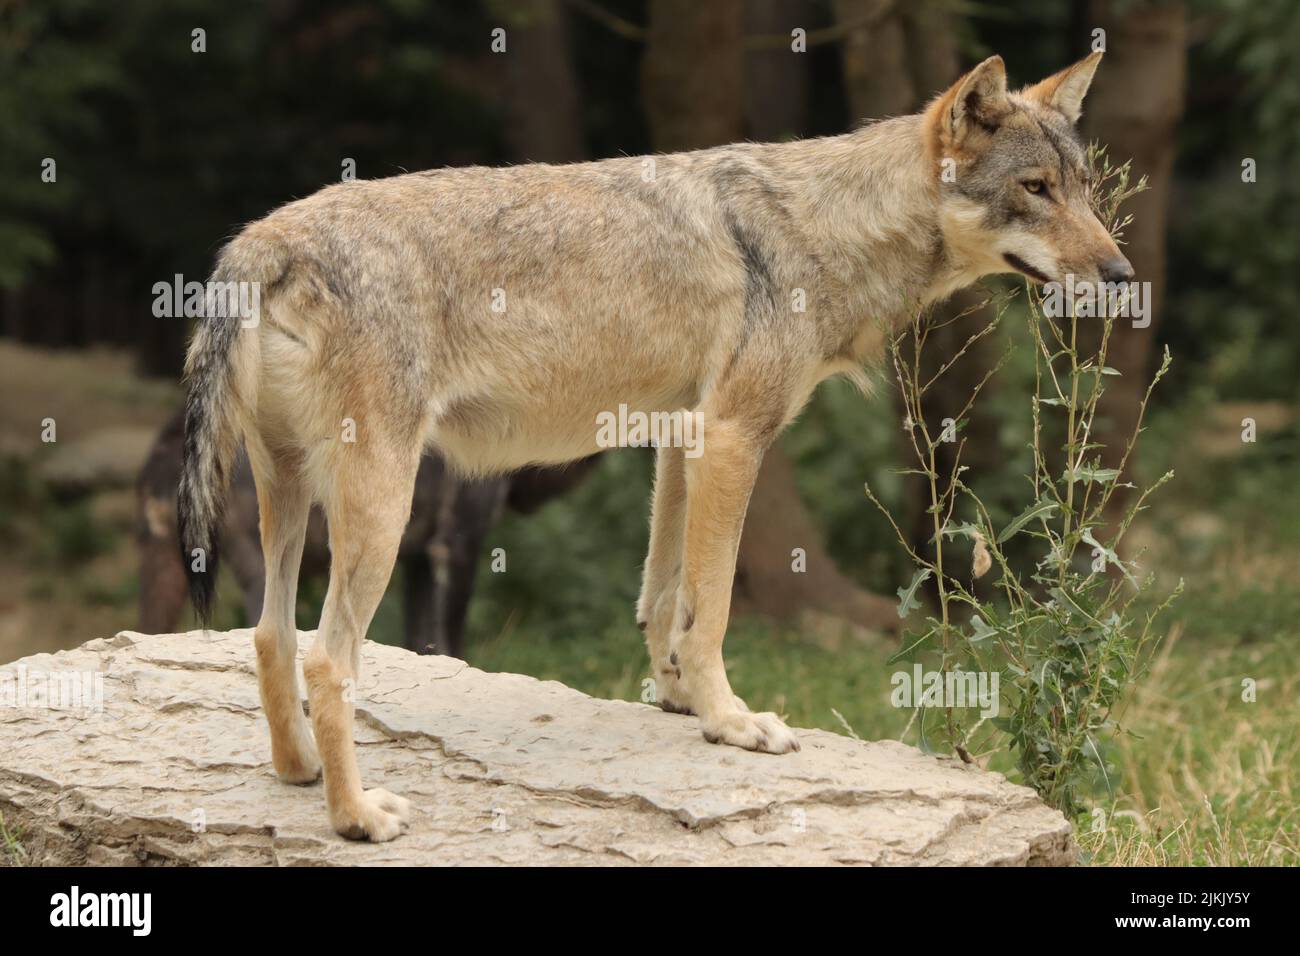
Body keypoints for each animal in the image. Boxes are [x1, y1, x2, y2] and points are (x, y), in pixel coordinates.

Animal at [179, 52, 1132, 841]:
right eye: (1035, 188)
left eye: (1085, 188)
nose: (1124, 276)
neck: (829, 227)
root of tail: (263, 240)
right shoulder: (735, 438)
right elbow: (712, 606)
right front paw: (732, 722)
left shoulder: (680, 440)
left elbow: (664, 596)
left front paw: (675, 698)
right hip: (383, 504)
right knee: (326, 658)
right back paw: (356, 818)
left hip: (288, 495)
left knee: (267, 637)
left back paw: (298, 774)